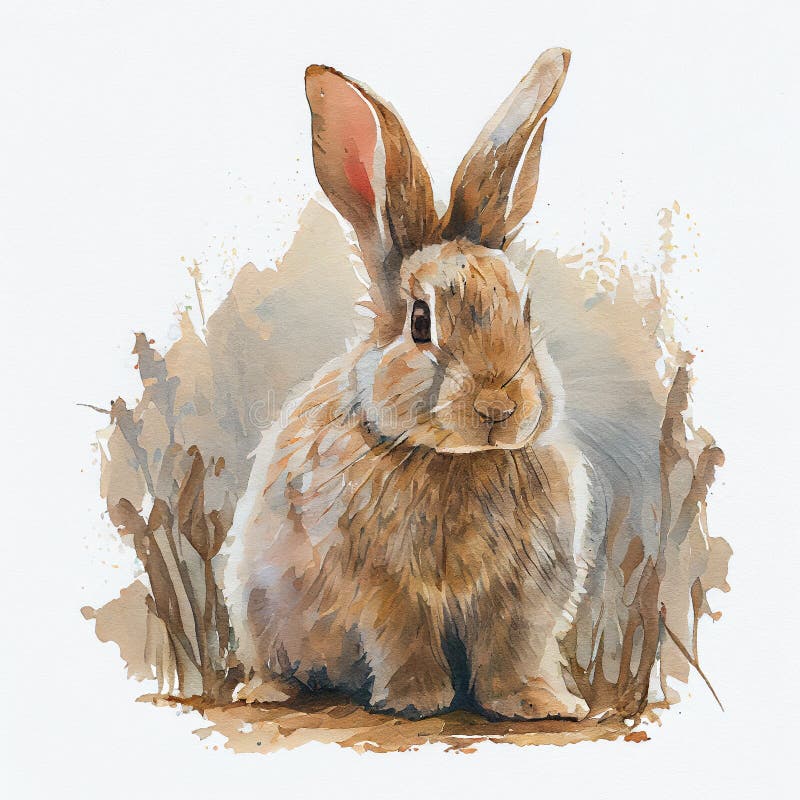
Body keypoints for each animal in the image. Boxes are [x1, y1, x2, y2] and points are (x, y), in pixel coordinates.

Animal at [223, 47, 600, 721]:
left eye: (526, 312)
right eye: (421, 322)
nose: (497, 406)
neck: (455, 460)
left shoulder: (525, 593)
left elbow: (514, 649)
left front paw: (537, 703)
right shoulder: (384, 591)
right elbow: (404, 641)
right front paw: (418, 702)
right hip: (258, 609)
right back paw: (266, 690)